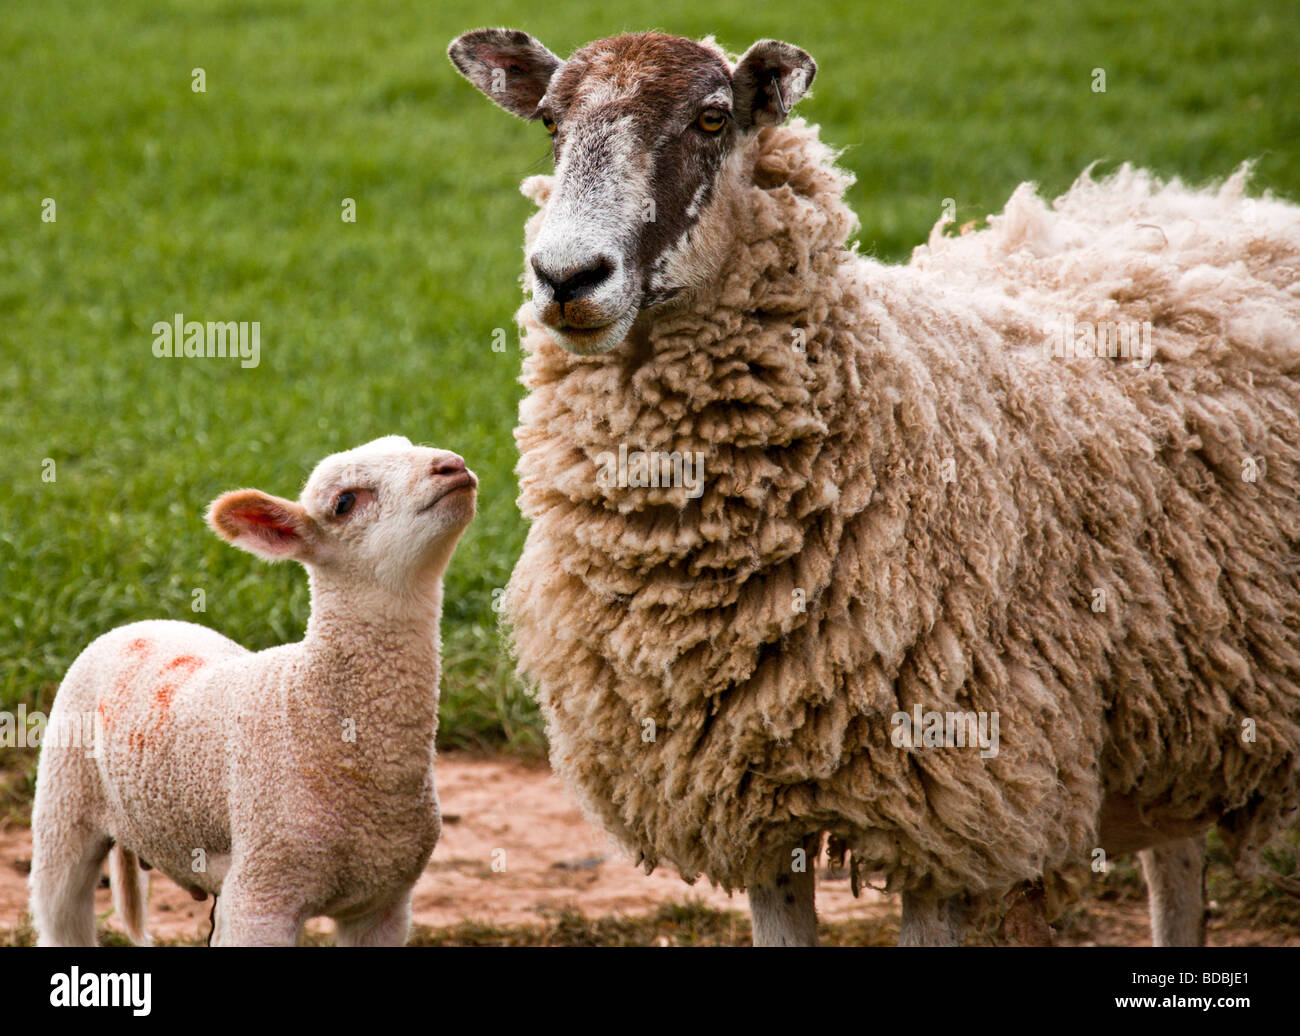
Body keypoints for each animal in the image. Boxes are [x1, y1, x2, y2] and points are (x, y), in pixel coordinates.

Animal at [28, 436, 478, 946]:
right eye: (345, 502)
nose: (452, 466)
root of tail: (140, 623)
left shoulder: (383, 903)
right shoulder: (260, 889)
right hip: (64, 797)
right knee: (60, 909)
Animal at [449, 28, 1300, 946]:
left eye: (712, 118)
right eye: (549, 121)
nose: (566, 277)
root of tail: (1220, 200)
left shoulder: (952, 807)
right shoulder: (752, 805)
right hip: (1177, 700)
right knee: (1176, 857)